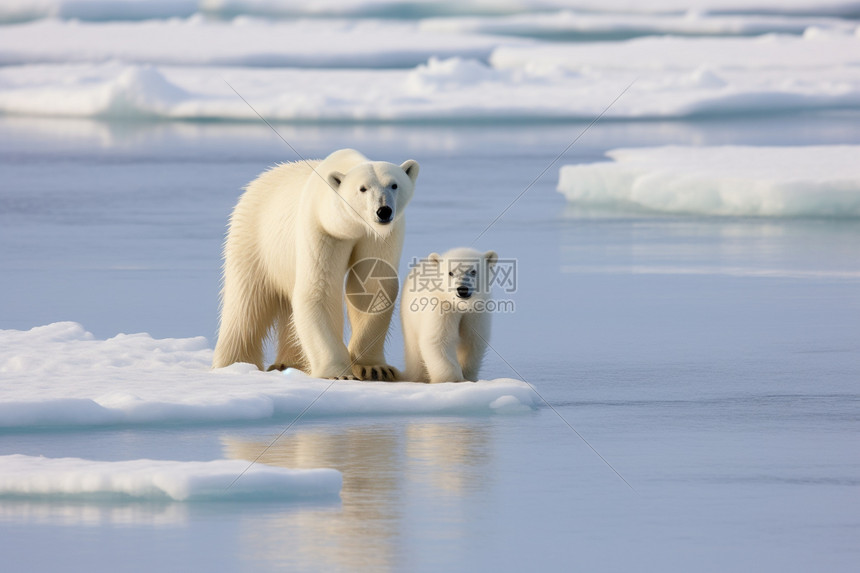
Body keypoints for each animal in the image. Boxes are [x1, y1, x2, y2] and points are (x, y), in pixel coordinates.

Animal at [212, 147, 420, 380]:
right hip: (253, 238)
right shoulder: (321, 229)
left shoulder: (379, 237)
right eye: (362, 188)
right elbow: (319, 289)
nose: (383, 211)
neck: (347, 225)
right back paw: (233, 364)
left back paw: (288, 363)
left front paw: (375, 368)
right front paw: (338, 373)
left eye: (394, 184)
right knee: (246, 304)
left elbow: (373, 287)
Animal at [402, 245, 498, 382]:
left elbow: (472, 340)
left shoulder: (476, 312)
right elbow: (439, 340)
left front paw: (468, 377)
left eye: (473, 271)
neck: (460, 305)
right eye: (451, 272)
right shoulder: (441, 308)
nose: (462, 289)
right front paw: (453, 380)